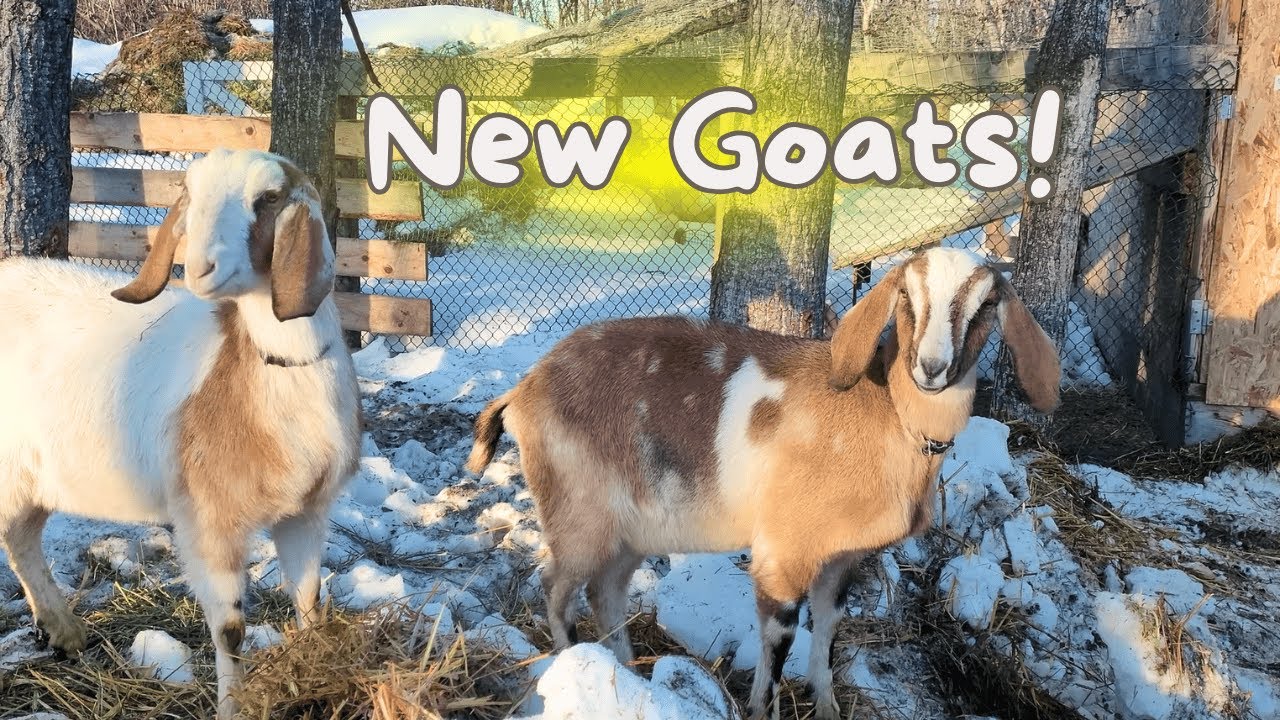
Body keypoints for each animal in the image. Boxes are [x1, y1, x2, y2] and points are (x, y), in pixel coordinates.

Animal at [0, 149, 361, 718]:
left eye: (269, 198)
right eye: (191, 192)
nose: (199, 269)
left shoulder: (306, 512)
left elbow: (309, 603)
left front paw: (313, 676)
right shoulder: (208, 522)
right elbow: (231, 632)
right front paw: (234, 706)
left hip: (34, 478)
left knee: (21, 537)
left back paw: (65, 631)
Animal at [466, 247, 1059, 720]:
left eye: (986, 305)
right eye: (907, 299)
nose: (932, 368)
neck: (885, 414)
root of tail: (522, 390)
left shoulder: (844, 557)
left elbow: (828, 629)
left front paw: (827, 705)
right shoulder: (784, 551)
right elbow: (778, 648)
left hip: (627, 530)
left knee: (604, 593)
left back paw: (628, 674)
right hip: (577, 514)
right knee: (556, 590)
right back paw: (571, 662)